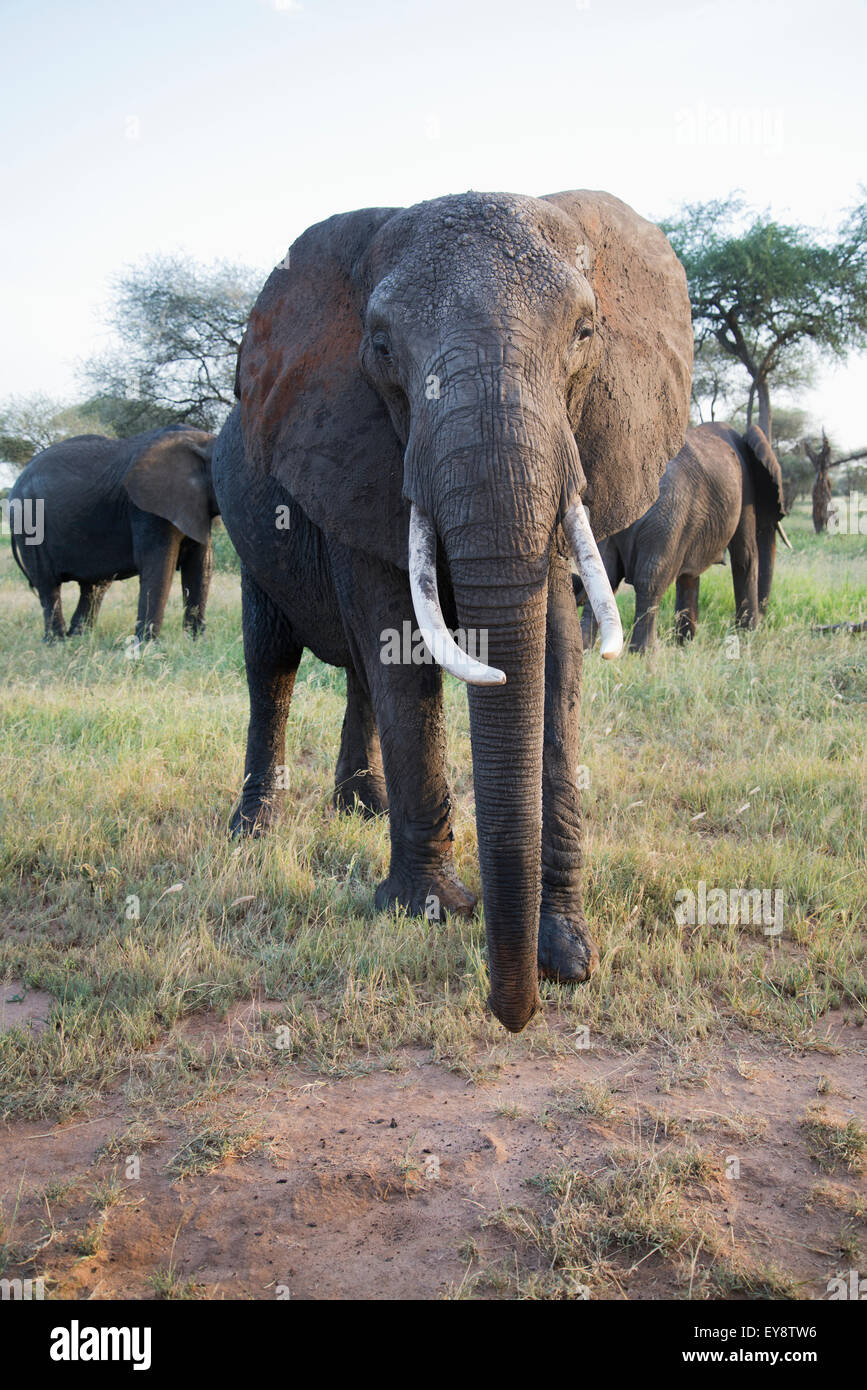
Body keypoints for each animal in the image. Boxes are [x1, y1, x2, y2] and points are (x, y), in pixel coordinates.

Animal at [9, 425, 218, 642]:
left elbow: (201, 565)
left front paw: (195, 643)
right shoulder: (145, 510)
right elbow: (160, 565)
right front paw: (147, 646)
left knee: (93, 587)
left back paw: (78, 639)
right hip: (29, 521)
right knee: (49, 585)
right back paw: (57, 643)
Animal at [213, 189, 693, 1033]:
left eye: (585, 333)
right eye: (380, 348)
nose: (516, 1014)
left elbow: (553, 654)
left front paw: (567, 950)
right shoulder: (351, 450)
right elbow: (400, 648)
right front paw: (428, 912)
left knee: (354, 676)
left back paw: (359, 809)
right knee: (270, 664)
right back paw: (254, 833)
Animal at [578, 422, 791, 652]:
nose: (764, 619)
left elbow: (689, 575)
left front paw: (684, 645)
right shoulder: (745, 489)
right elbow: (746, 557)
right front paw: (747, 635)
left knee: (604, 574)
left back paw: (587, 649)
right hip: (668, 515)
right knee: (651, 578)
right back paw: (642, 653)